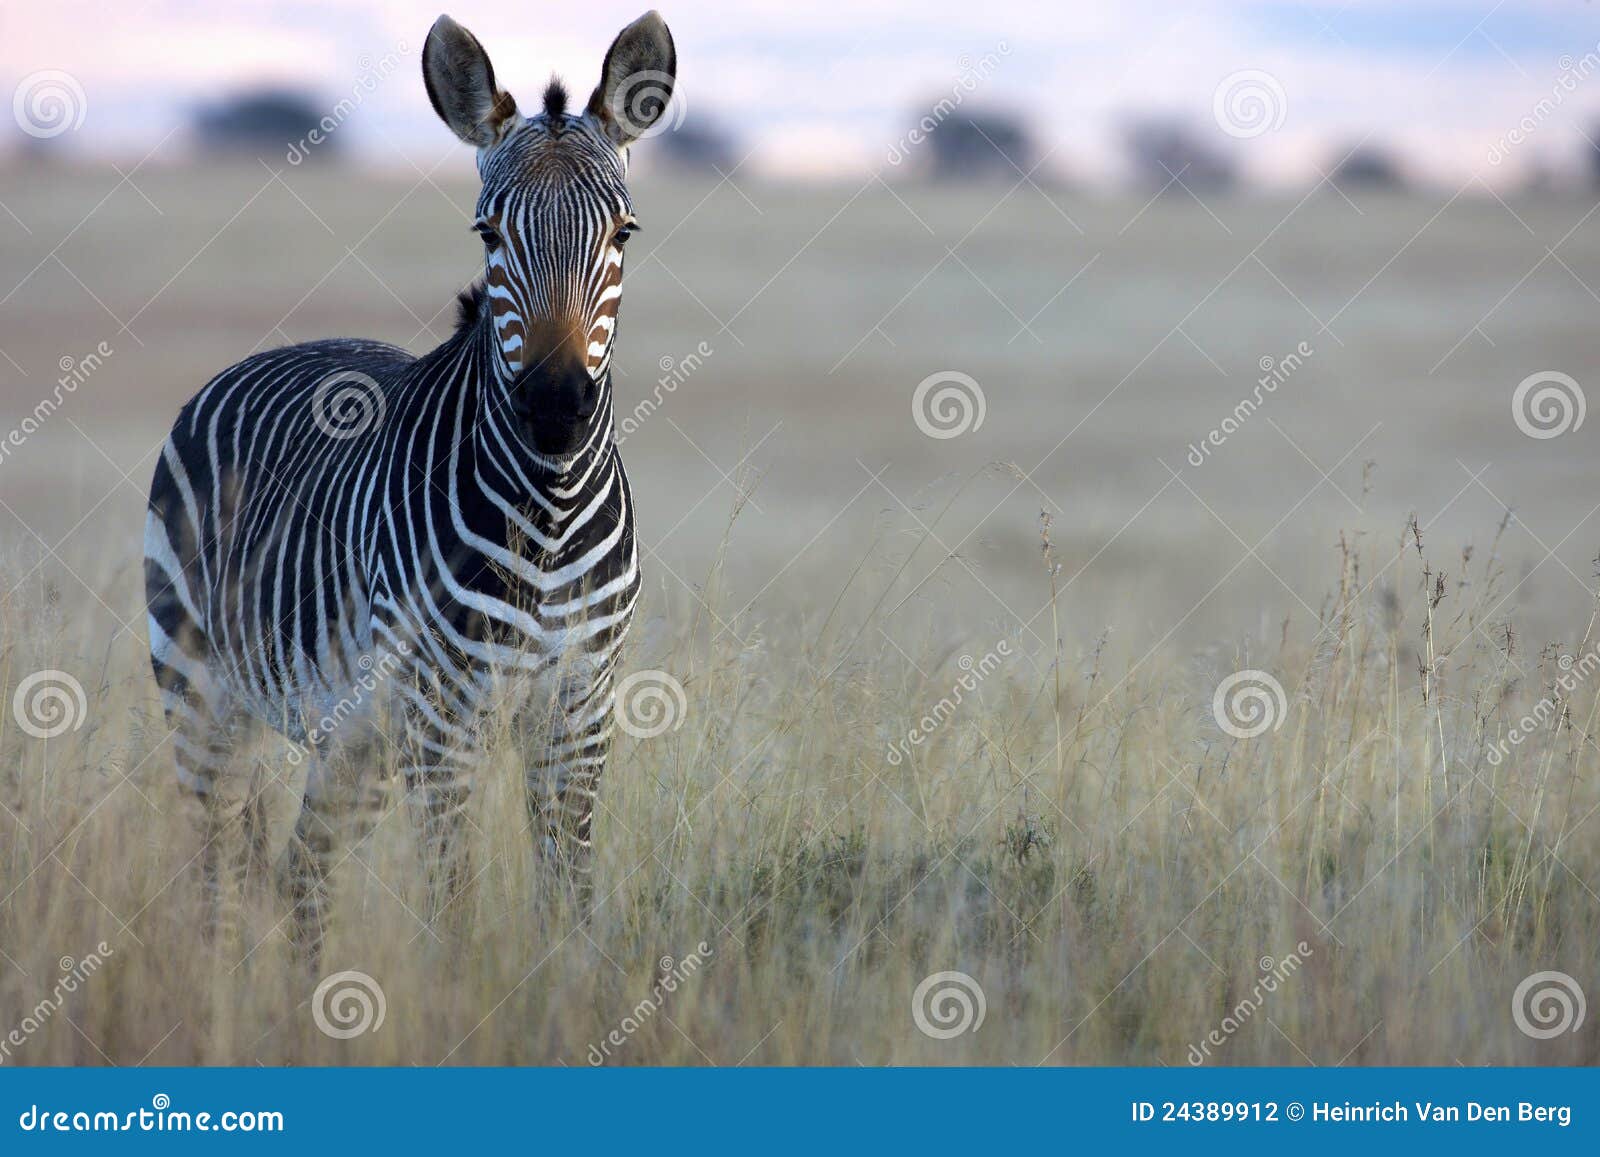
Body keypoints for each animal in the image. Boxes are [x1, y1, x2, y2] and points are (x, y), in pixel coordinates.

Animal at [142, 12, 676, 947]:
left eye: (624, 234)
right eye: (489, 235)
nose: (555, 405)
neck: (550, 510)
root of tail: (268, 353)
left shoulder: (580, 708)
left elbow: (568, 896)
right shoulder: (445, 711)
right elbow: (454, 901)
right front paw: (464, 986)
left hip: (351, 735)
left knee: (299, 871)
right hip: (200, 691)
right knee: (215, 876)